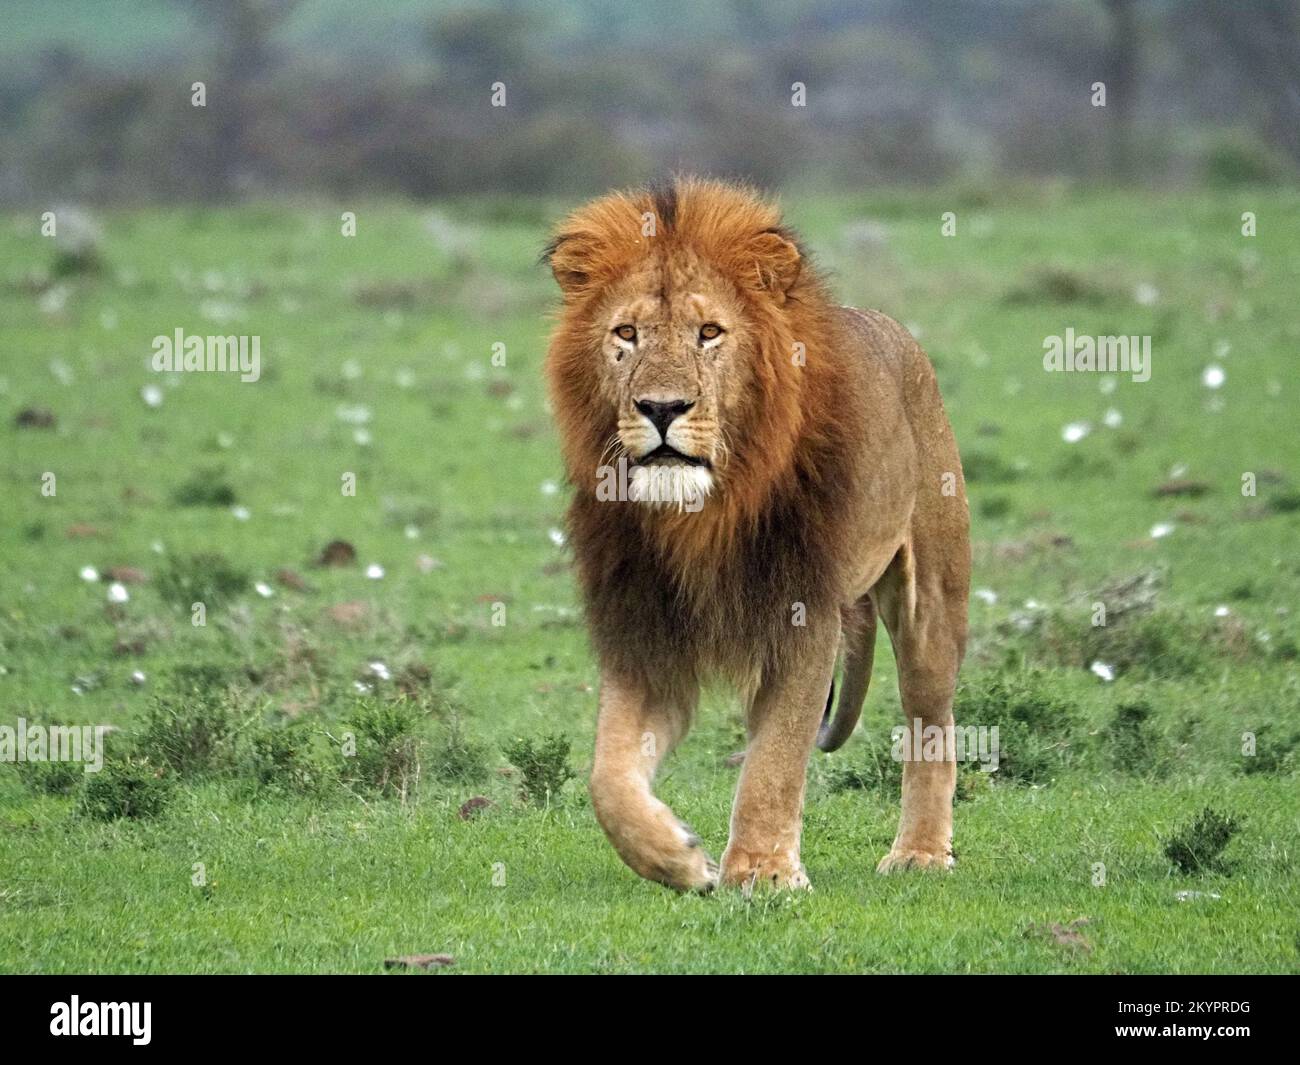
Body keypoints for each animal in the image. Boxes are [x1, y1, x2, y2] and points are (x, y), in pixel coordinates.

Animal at [543, 177, 970, 892]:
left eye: (710, 333)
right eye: (625, 333)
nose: (661, 408)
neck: (701, 514)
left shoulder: (804, 617)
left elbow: (777, 757)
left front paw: (764, 872)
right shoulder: (645, 632)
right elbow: (607, 776)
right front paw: (679, 859)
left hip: (932, 600)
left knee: (930, 722)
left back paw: (920, 853)